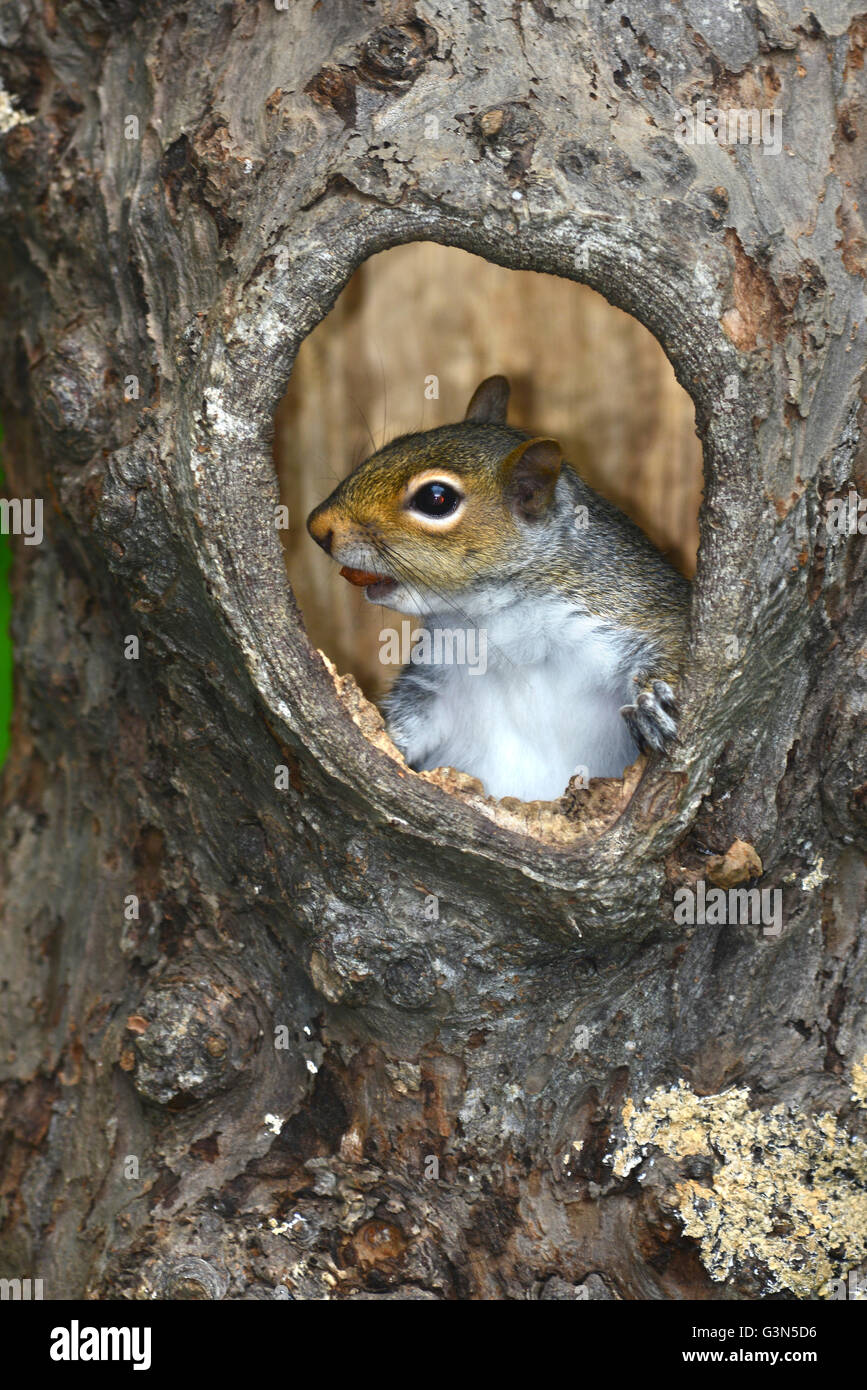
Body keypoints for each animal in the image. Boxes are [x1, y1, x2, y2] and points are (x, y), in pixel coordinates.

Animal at [307, 376, 690, 802]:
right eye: (396, 443)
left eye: (436, 498)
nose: (317, 526)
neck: (494, 620)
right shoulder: (438, 677)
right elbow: (413, 719)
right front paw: (388, 740)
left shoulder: (625, 607)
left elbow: (672, 637)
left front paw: (651, 703)